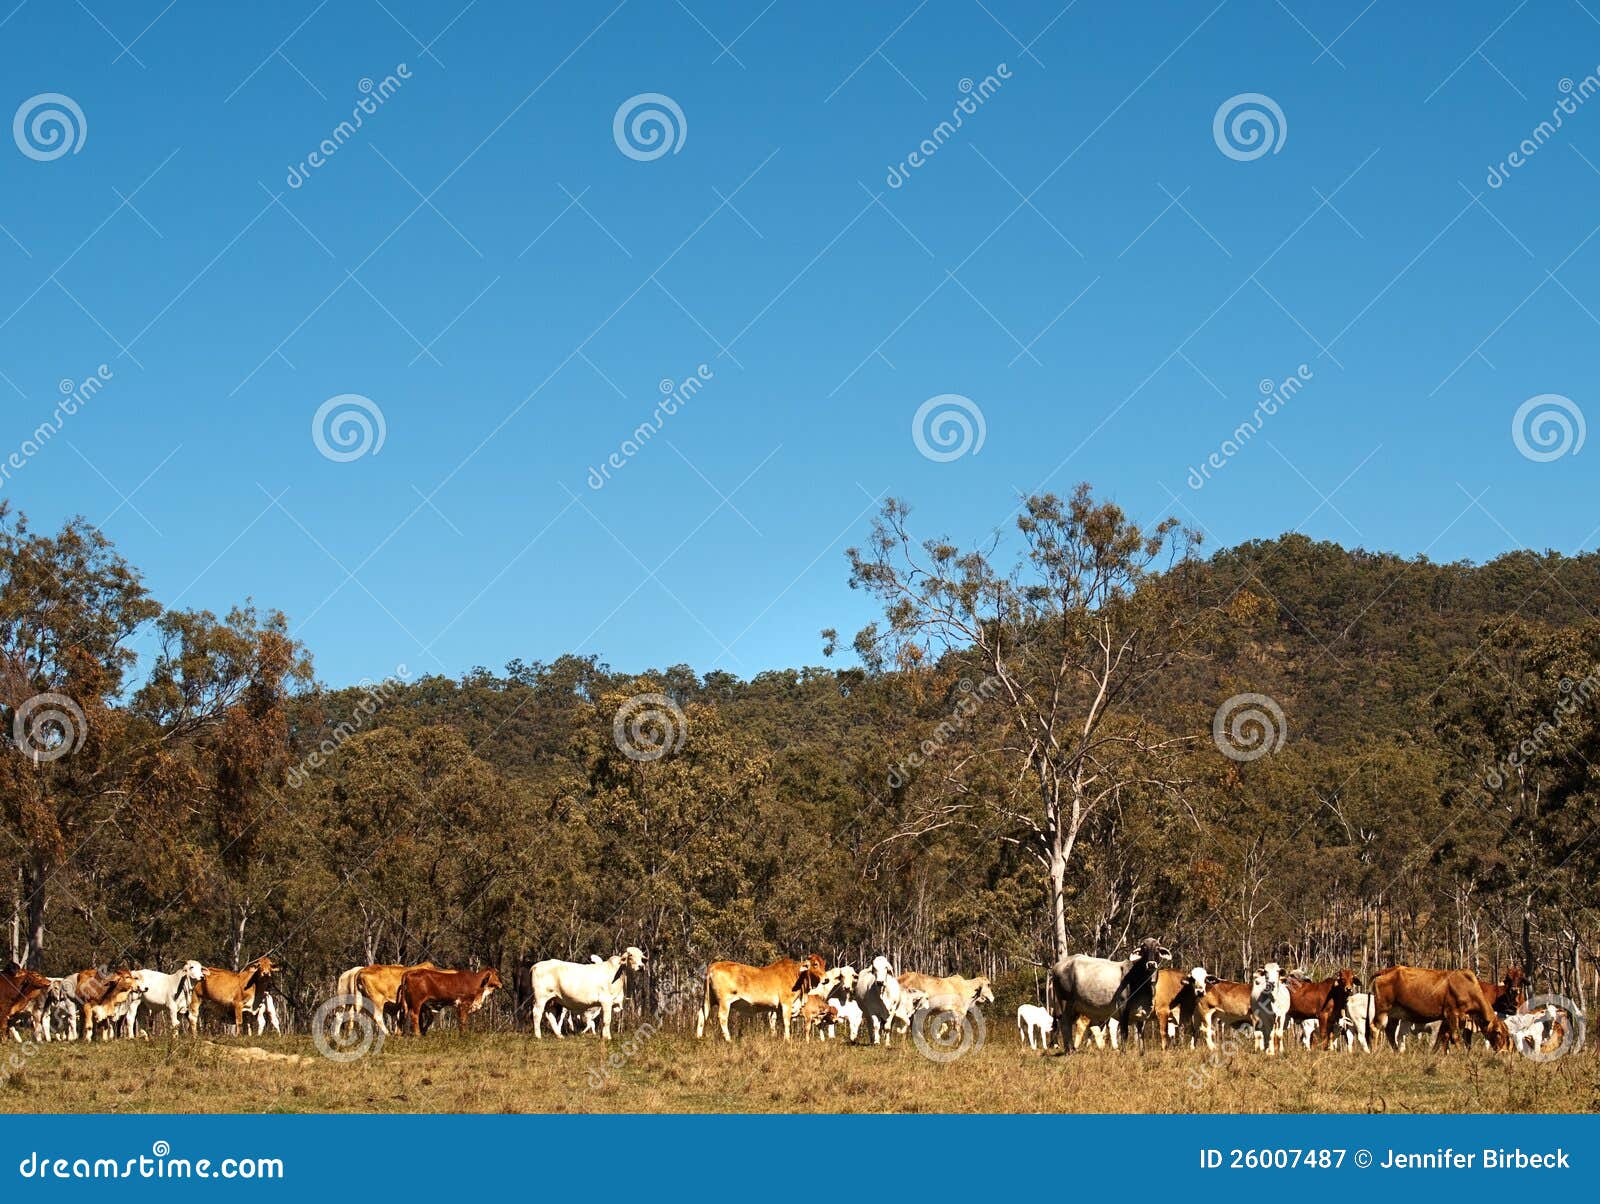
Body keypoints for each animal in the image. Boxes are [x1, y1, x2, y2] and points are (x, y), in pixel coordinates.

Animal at [696, 953, 825, 1041]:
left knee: (702, 1014)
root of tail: (713, 966)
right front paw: (787, 1039)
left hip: (709, 999)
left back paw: (698, 1037)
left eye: (824, 965)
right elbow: (786, 1022)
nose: (826, 979)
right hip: (724, 1002)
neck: (796, 975)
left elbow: (773, 1022)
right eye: (815, 964)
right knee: (722, 1017)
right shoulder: (786, 1003)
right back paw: (728, 1039)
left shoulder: (775, 1008)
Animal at [1371, 965, 1510, 1051]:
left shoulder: (1448, 1020)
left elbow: (1444, 1037)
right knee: (1375, 1027)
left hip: (1394, 1014)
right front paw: (1461, 1054)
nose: (1503, 1051)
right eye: (1498, 1032)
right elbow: (1455, 1036)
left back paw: (1396, 1052)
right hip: (1383, 1009)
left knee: (1390, 1031)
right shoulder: (1452, 1013)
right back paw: (1374, 1051)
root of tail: (1387, 970)